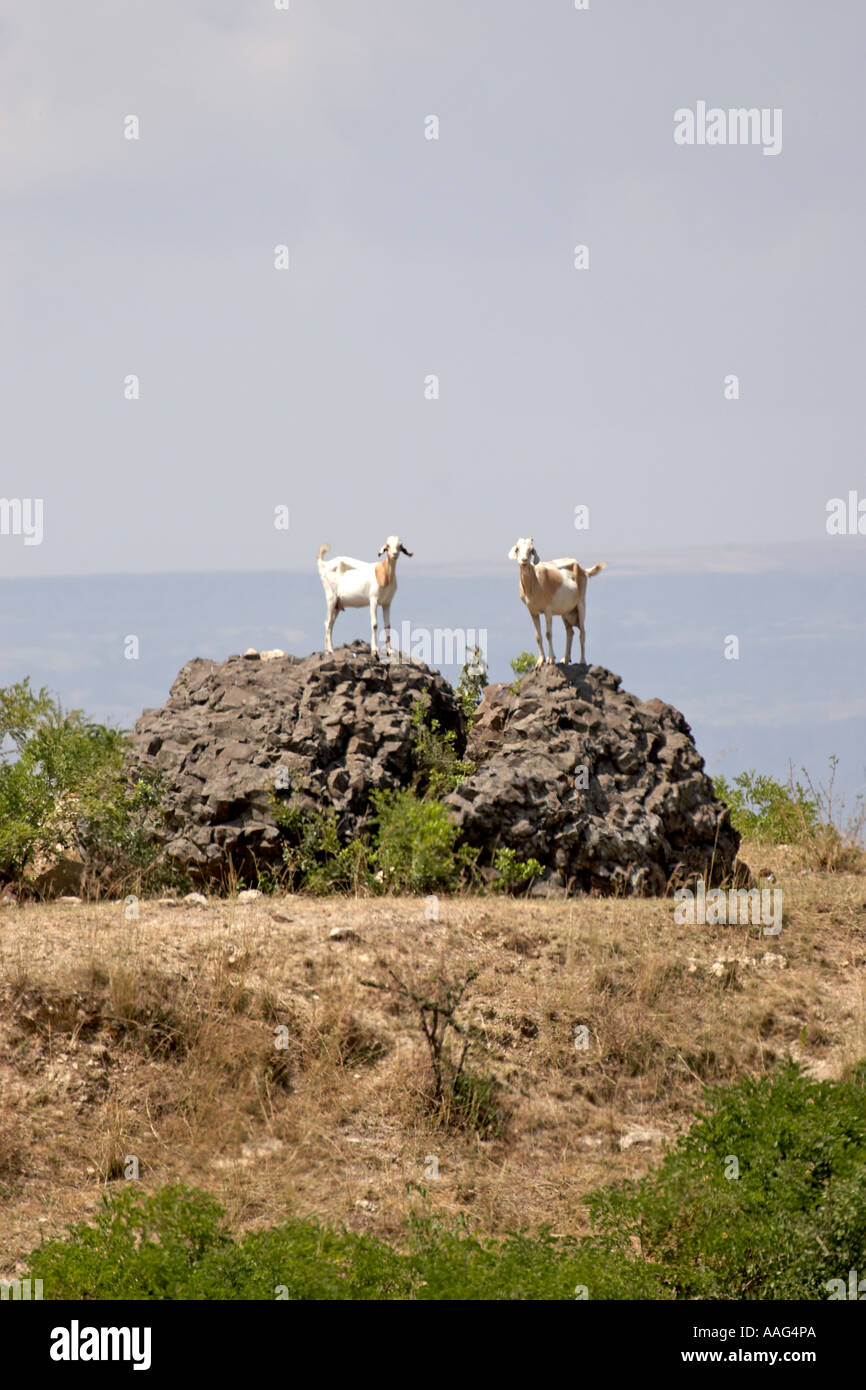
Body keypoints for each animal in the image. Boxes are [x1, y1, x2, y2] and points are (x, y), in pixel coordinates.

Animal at [508, 536, 606, 666]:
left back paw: (582, 661)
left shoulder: (547, 610)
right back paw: (565, 659)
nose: (524, 560)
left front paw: (550, 659)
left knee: (582, 632)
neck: (535, 581)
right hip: (565, 612)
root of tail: (583, 570)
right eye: (517, 549)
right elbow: (538, 636)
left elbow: (548, 634)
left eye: (531, 550)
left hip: (581, 604)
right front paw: (540, 661)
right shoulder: (533, 611)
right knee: (570, 632)